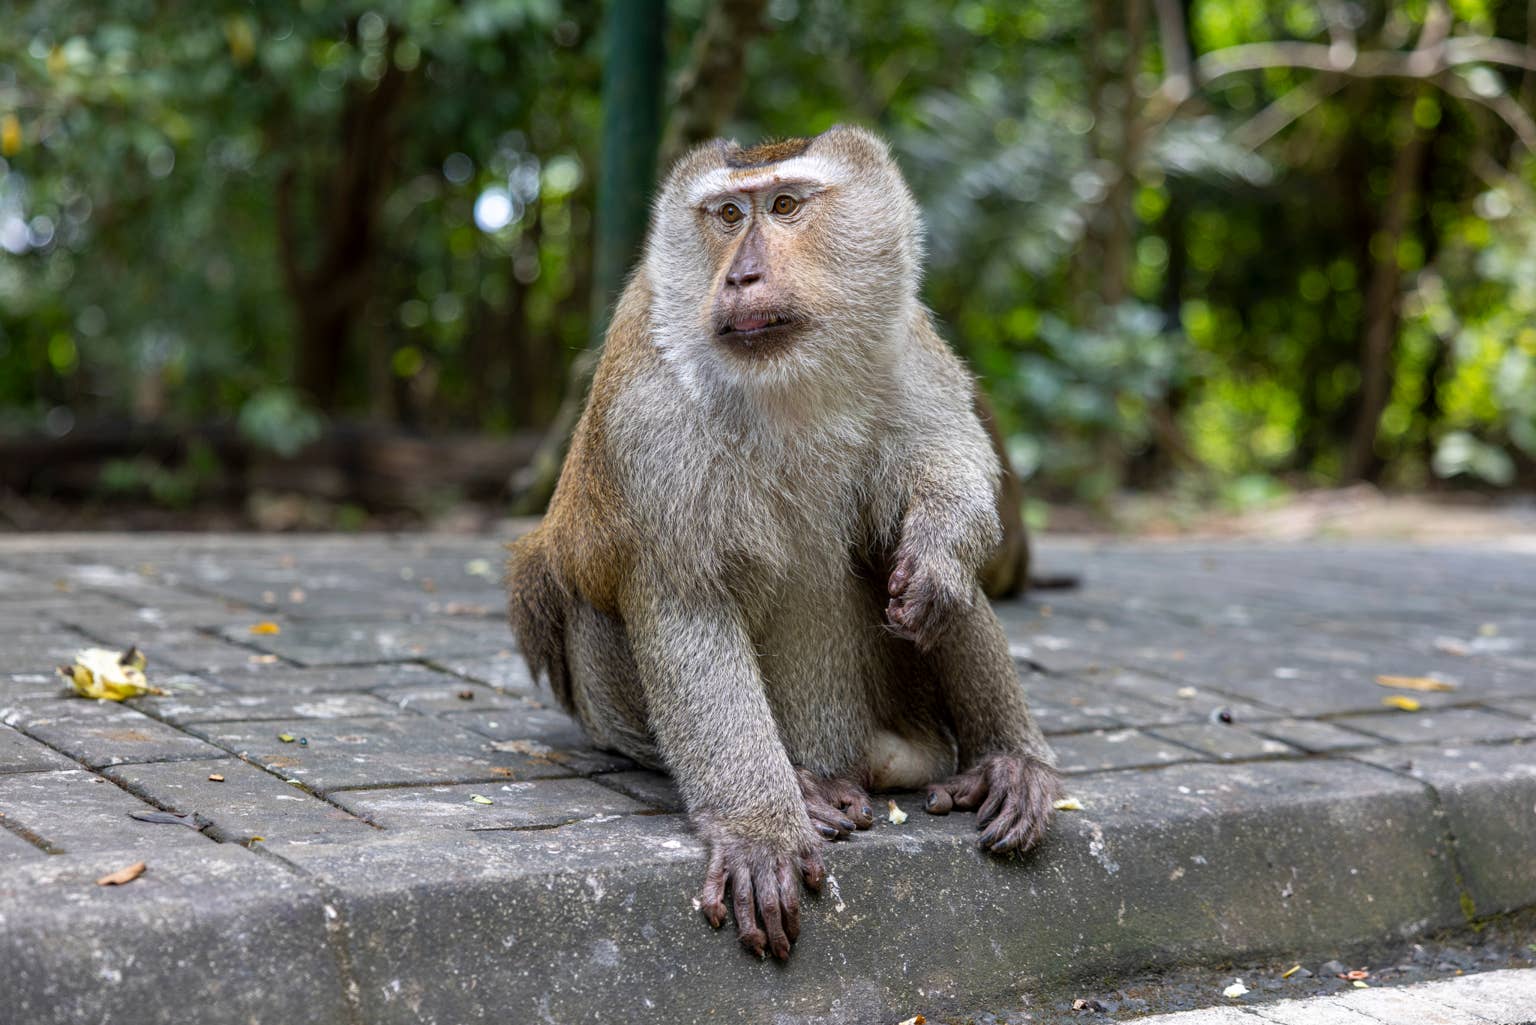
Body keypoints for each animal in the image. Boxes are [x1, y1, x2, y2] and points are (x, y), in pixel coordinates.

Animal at [506, 125, 1058, 961]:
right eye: (730, 214)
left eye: (787, 205)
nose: (742, 275)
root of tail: (868, 753)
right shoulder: (651, 409)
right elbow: (684, 601)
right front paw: (759, 829)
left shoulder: (906, 339)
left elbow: (951, 470)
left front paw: (937, 545)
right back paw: (802, 783)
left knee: (919, 566)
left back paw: (1009, 761)